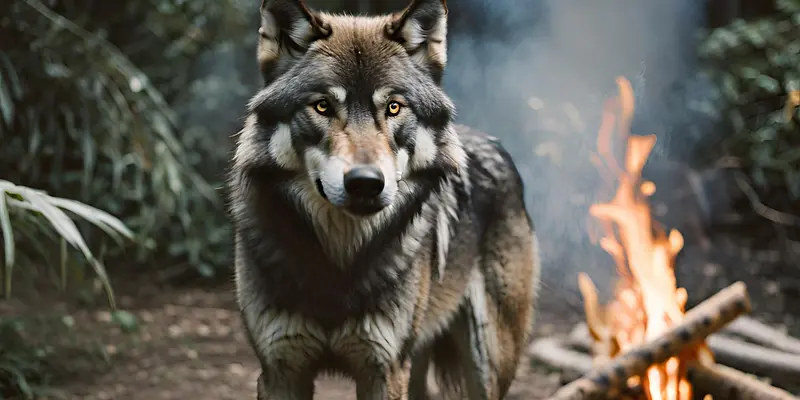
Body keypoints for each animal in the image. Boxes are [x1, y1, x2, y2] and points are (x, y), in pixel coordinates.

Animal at [227, 0, 541, 398]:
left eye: (393, 107)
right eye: (322, 106)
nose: (365, 183)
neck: (339, 265)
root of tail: (495, 143)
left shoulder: (384, 369)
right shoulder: (280, 369)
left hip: (485, 363)